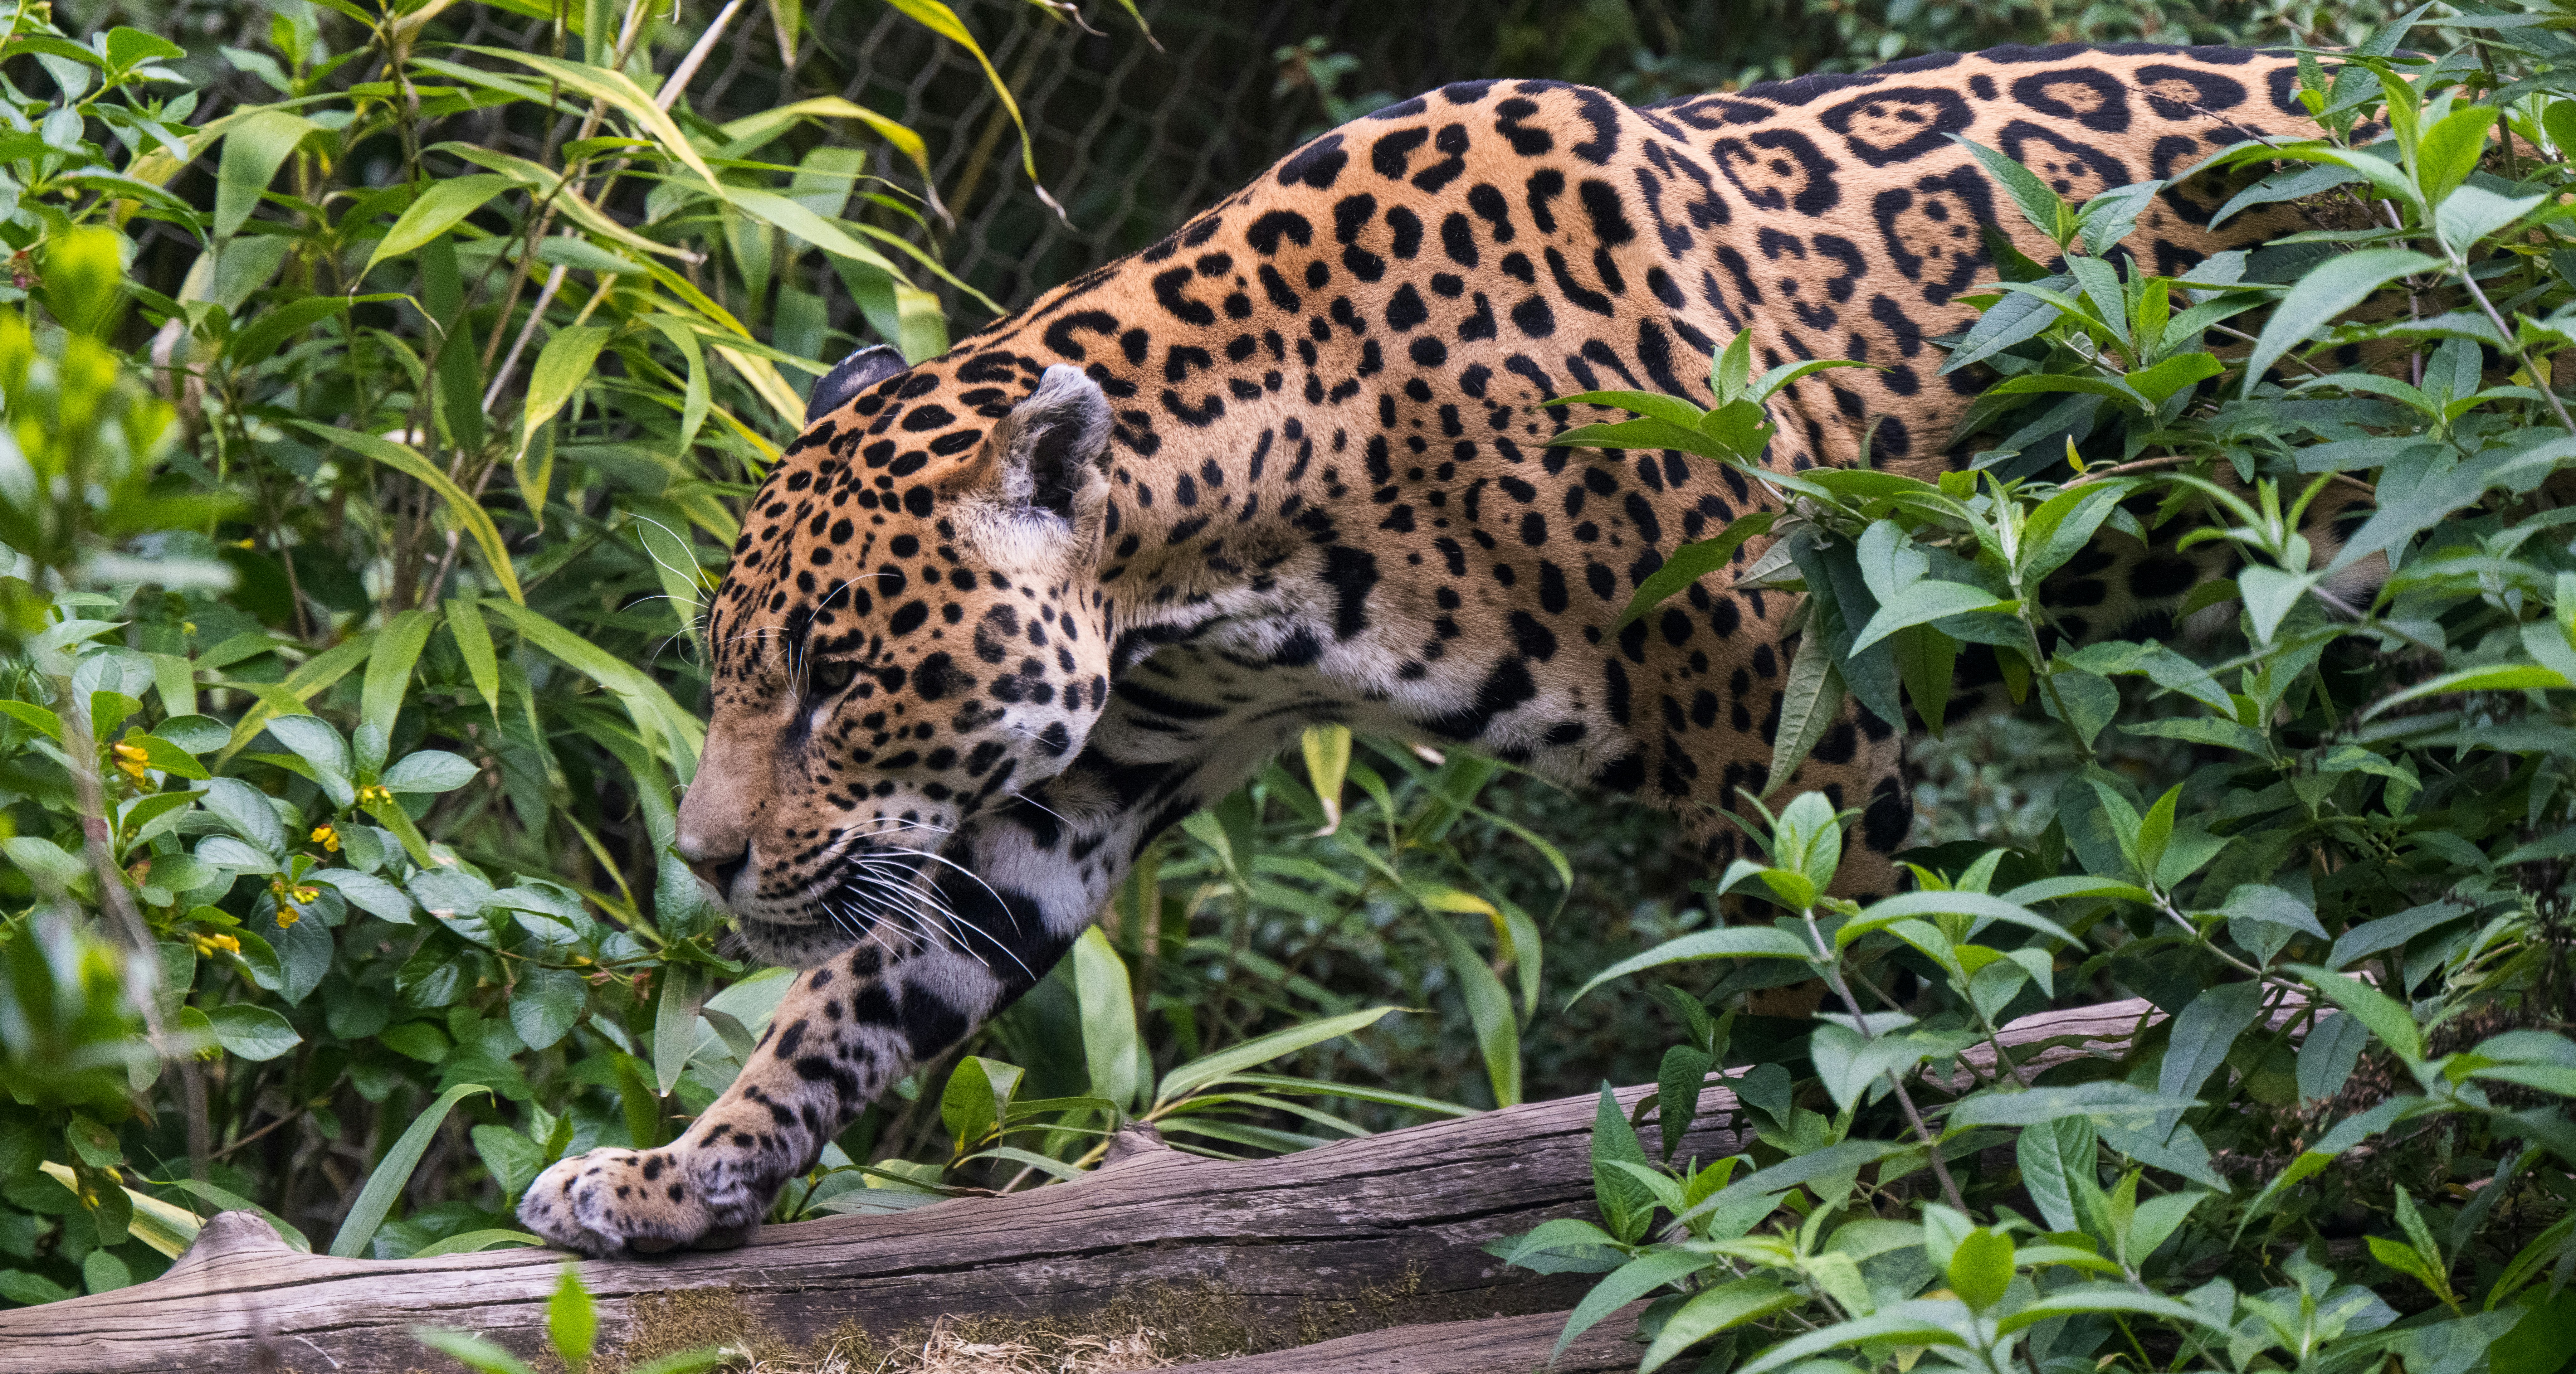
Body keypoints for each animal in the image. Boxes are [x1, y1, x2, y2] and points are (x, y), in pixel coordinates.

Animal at [521, 42, 2371, 1256]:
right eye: (738, 665)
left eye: (836, 676)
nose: (701, 860)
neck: (1231, 537)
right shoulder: (1080, 781)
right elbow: (849, 999)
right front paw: (668, 1177)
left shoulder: (1795, 734)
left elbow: (1836, 996)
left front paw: (1843, 1216)